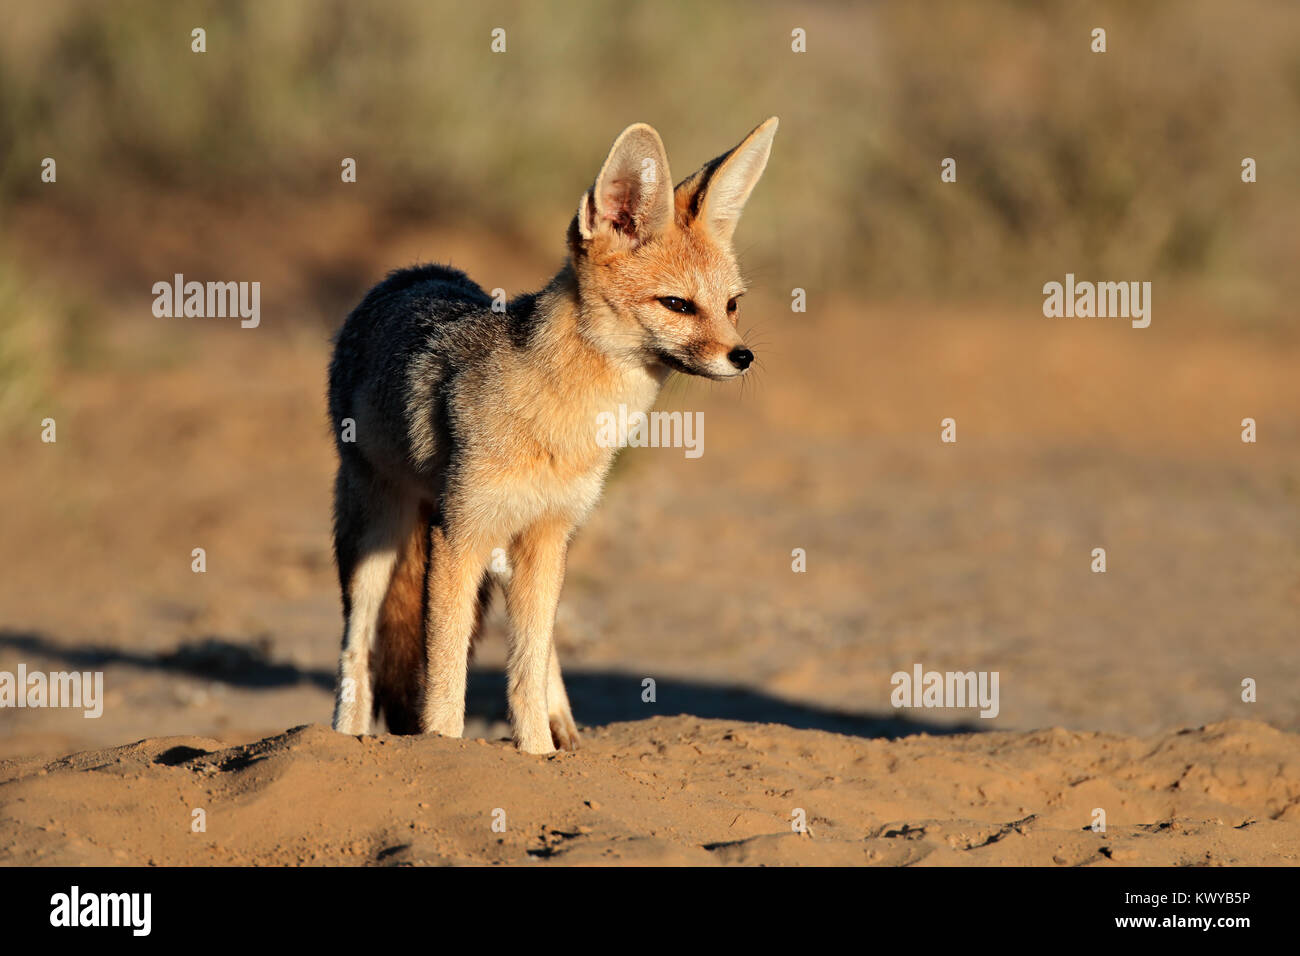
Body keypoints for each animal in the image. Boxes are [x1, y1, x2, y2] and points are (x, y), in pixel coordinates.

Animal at [327, 117, 778, 753]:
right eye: (677, 305)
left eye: (732, 305)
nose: (743, 357)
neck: (564, 422)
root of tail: (414, 270)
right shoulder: (458, 535)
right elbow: (445, 674)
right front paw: (442, 747)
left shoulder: (550, 534)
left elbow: (526, 668)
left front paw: (538, 754)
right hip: (376, 538)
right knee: (357, 650)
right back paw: (344, 737)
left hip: (505, 545)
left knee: (537, 655)